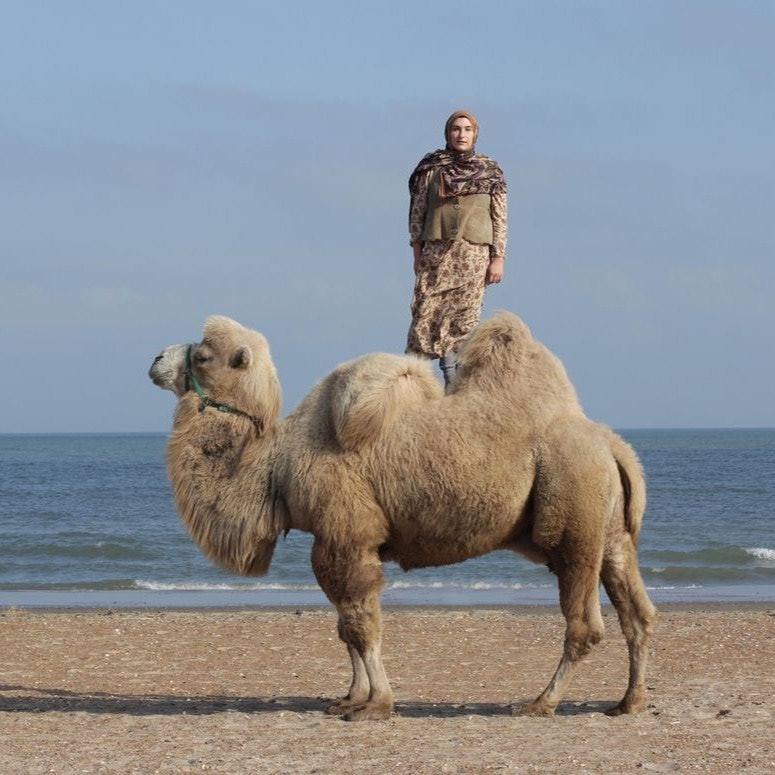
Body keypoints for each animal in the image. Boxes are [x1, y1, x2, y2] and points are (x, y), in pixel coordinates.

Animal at [148, 311, 656, 721]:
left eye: (203, 356)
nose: (156, 358)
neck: (278, 463)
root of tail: (611, 444)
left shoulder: (346, 535)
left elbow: (360, 622)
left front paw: (377, 705)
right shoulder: (341, 541)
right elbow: (345, 627)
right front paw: (350, 697)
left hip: (575, 516)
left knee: (585, 624)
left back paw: (540, 703)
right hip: (611, 533)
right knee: (637, 614)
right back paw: (628, 702)